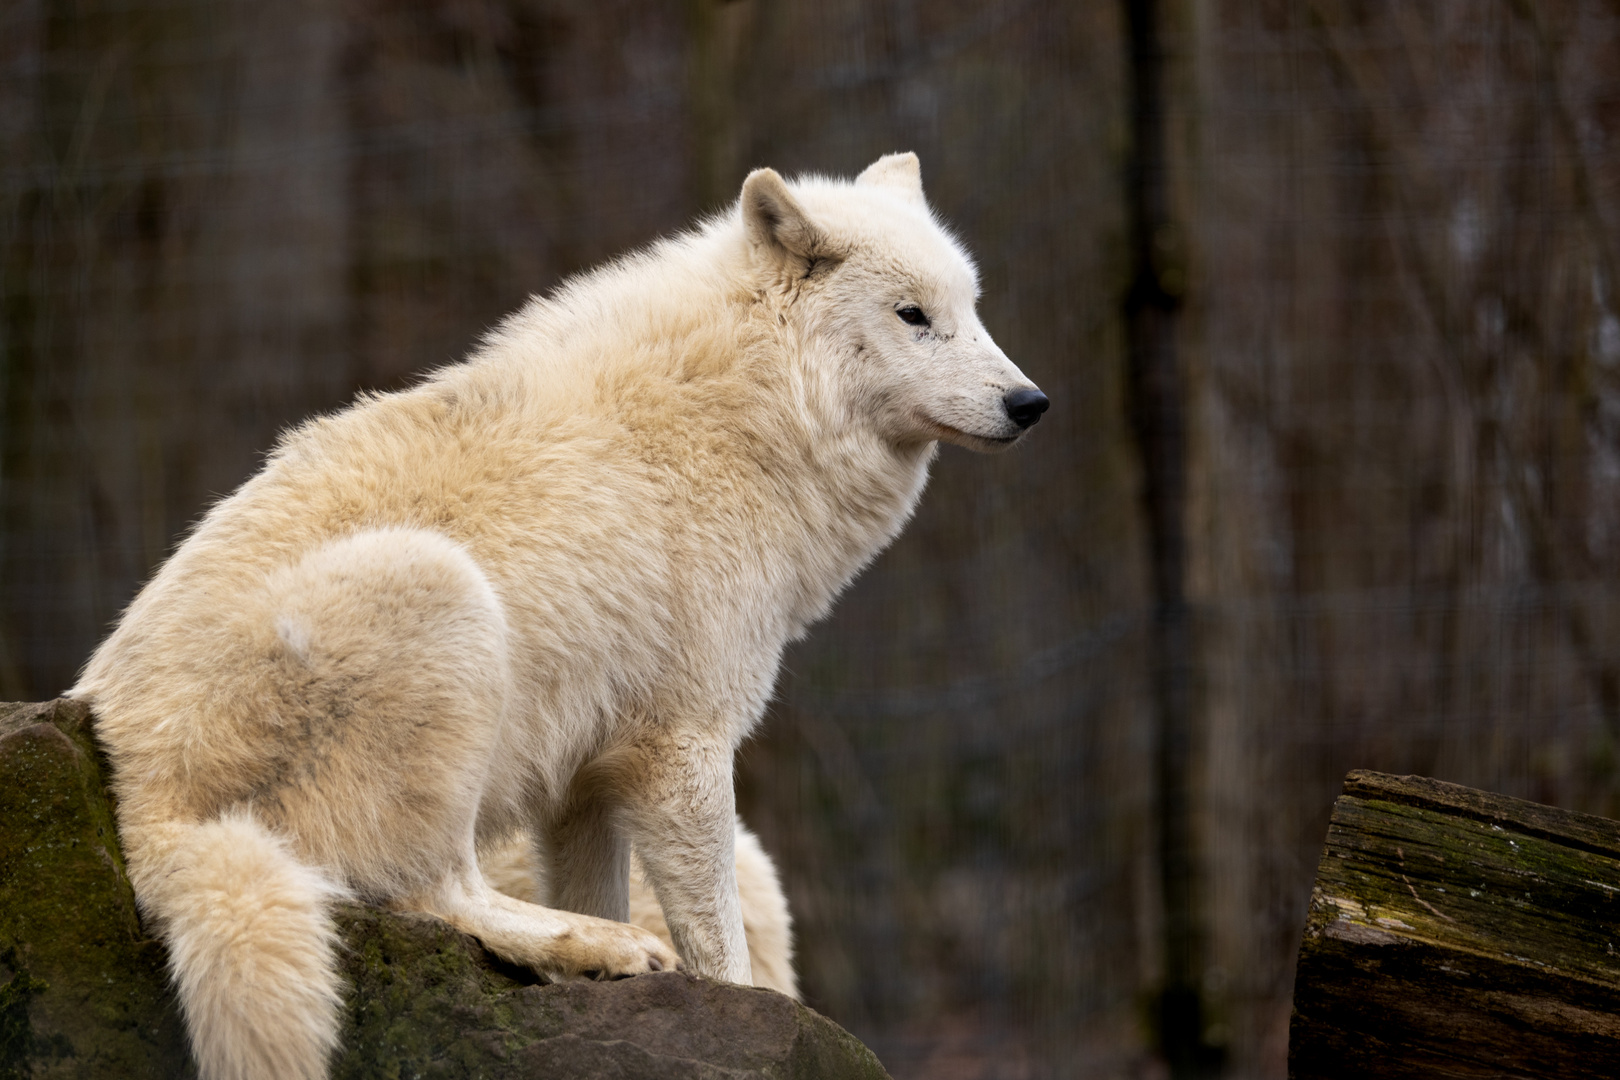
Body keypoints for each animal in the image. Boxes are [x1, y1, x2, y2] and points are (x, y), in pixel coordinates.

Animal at [69, 152, 1043, 1080]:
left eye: (972, 309)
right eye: (912, 315)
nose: (1030, 404)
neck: (756, 407)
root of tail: (140, 804)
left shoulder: (586, 780)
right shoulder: (681, 744)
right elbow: (722, 947)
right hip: (441, 594)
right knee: (422, 891)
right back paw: (592, 947)